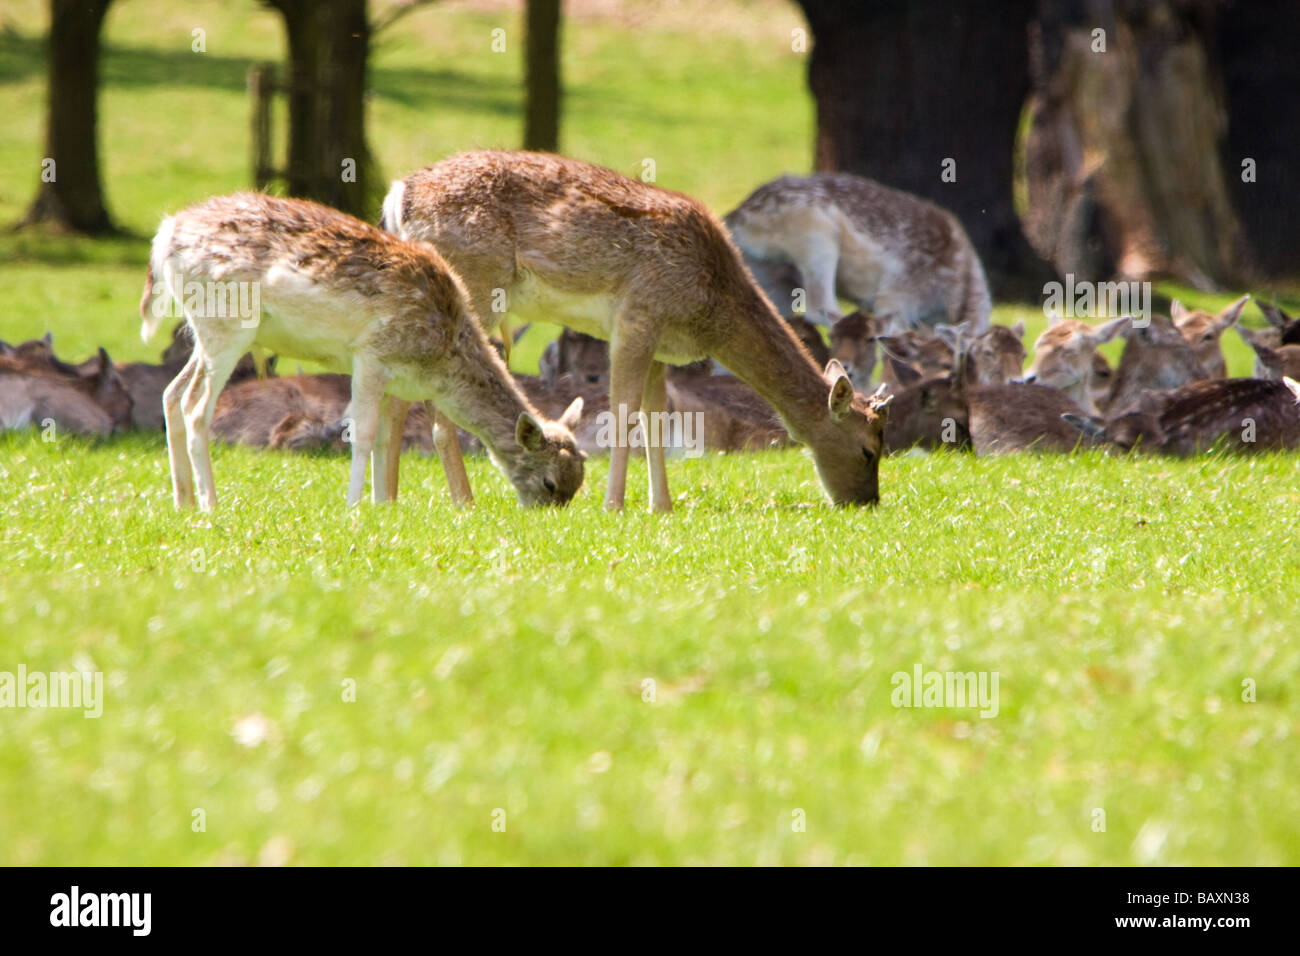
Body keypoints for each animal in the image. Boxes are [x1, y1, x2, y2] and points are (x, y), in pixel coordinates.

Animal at [140, 193, 584, 511]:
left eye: (579, 481)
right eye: (550, 482)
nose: (547, 515)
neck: (436, 362)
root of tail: (164, 237)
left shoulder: (394, 380)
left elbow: (389, 435)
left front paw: (381, 505)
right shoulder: (371, 355)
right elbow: (363, 431)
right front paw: (354, 506)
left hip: (206, 331)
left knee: (171, 393)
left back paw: (182, 501)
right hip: (228, 326)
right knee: (196, 405)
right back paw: (210, 504)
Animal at [382, 151, 891, 512]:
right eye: (869, 450)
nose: (866, 502)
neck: (710, 310)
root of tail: (397, 196)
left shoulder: (662, 348)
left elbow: (655, 418)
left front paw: (660, 506)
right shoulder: (637, 318)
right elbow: (622, 413)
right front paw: (614, 505)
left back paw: (384, 499)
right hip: (475, 289)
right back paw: (460, 501)